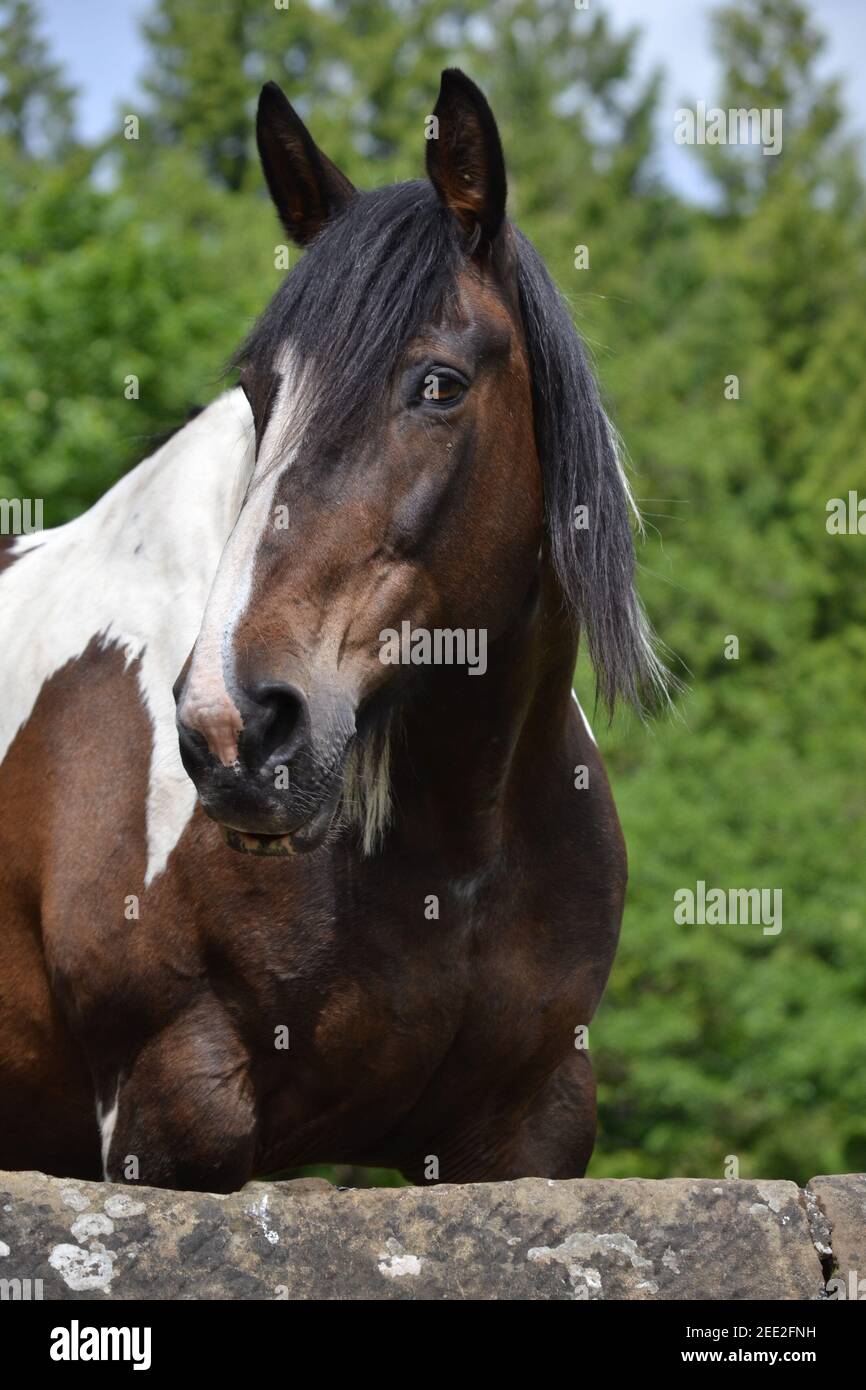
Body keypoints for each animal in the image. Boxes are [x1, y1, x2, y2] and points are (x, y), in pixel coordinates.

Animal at [0, 71, 665, 1192]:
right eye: (261, 394)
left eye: (438, 383)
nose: (233, 730)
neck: (451, 841)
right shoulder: (171, 1114)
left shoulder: (528, 1130)